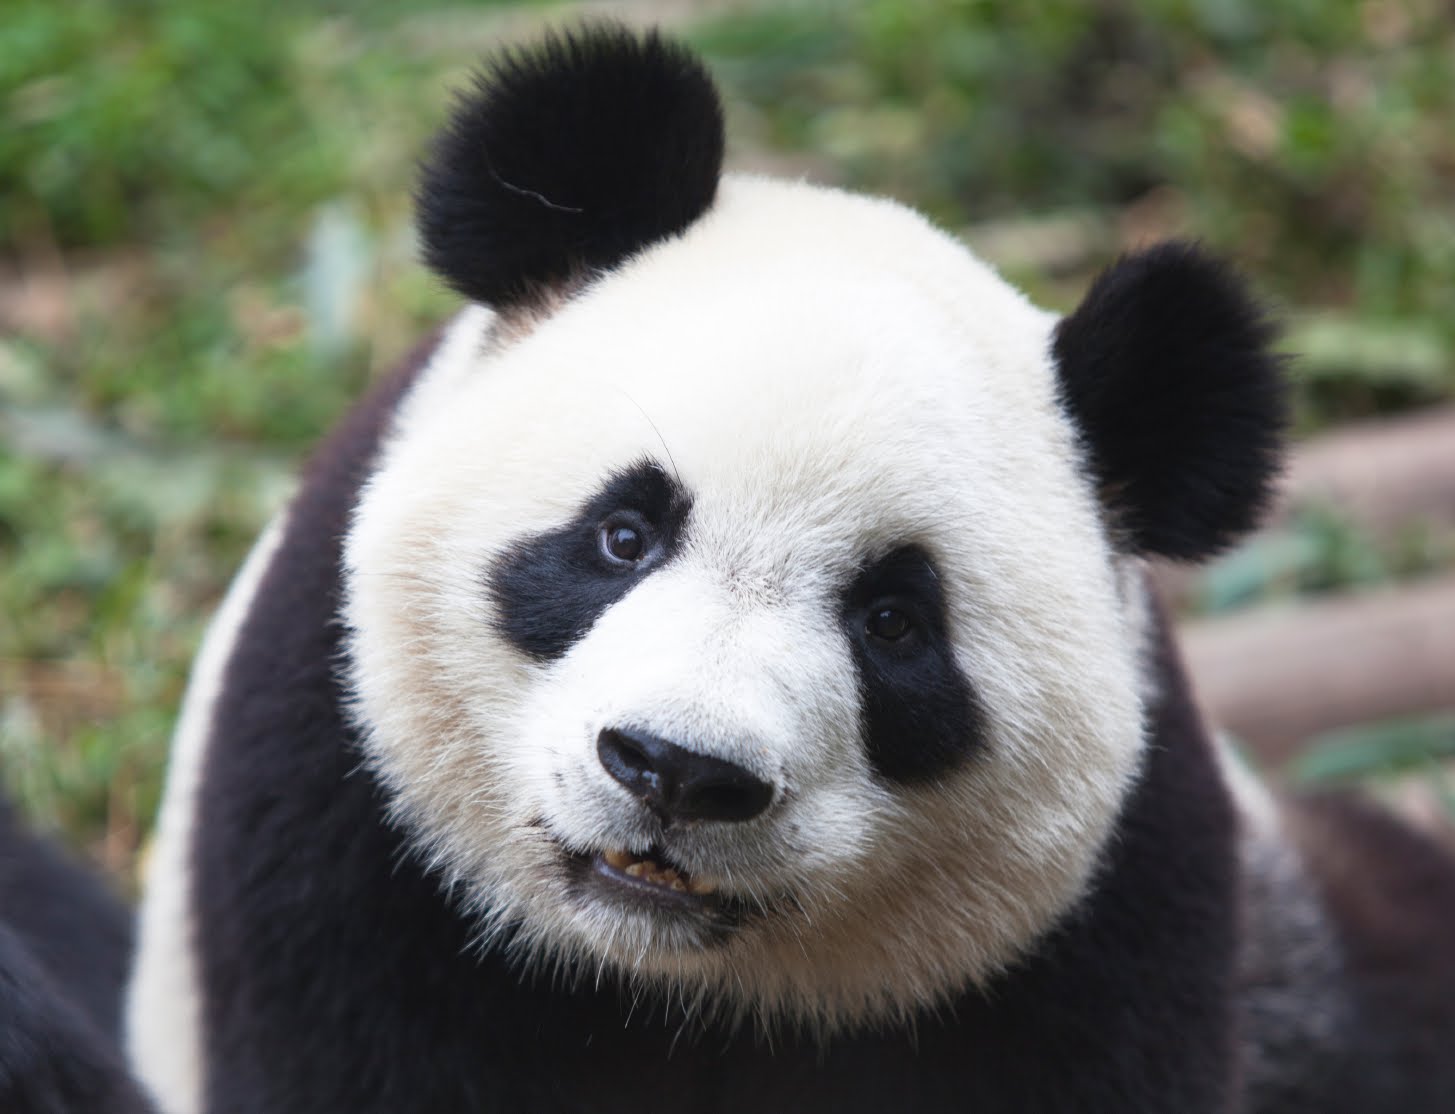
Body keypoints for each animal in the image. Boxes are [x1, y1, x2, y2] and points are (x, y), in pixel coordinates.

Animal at [126, 24, 1455, 1114]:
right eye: (623, 535)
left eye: (894, 622)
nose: (676, 769)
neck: (661, 979)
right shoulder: (345, 814)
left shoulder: (1106, 914)